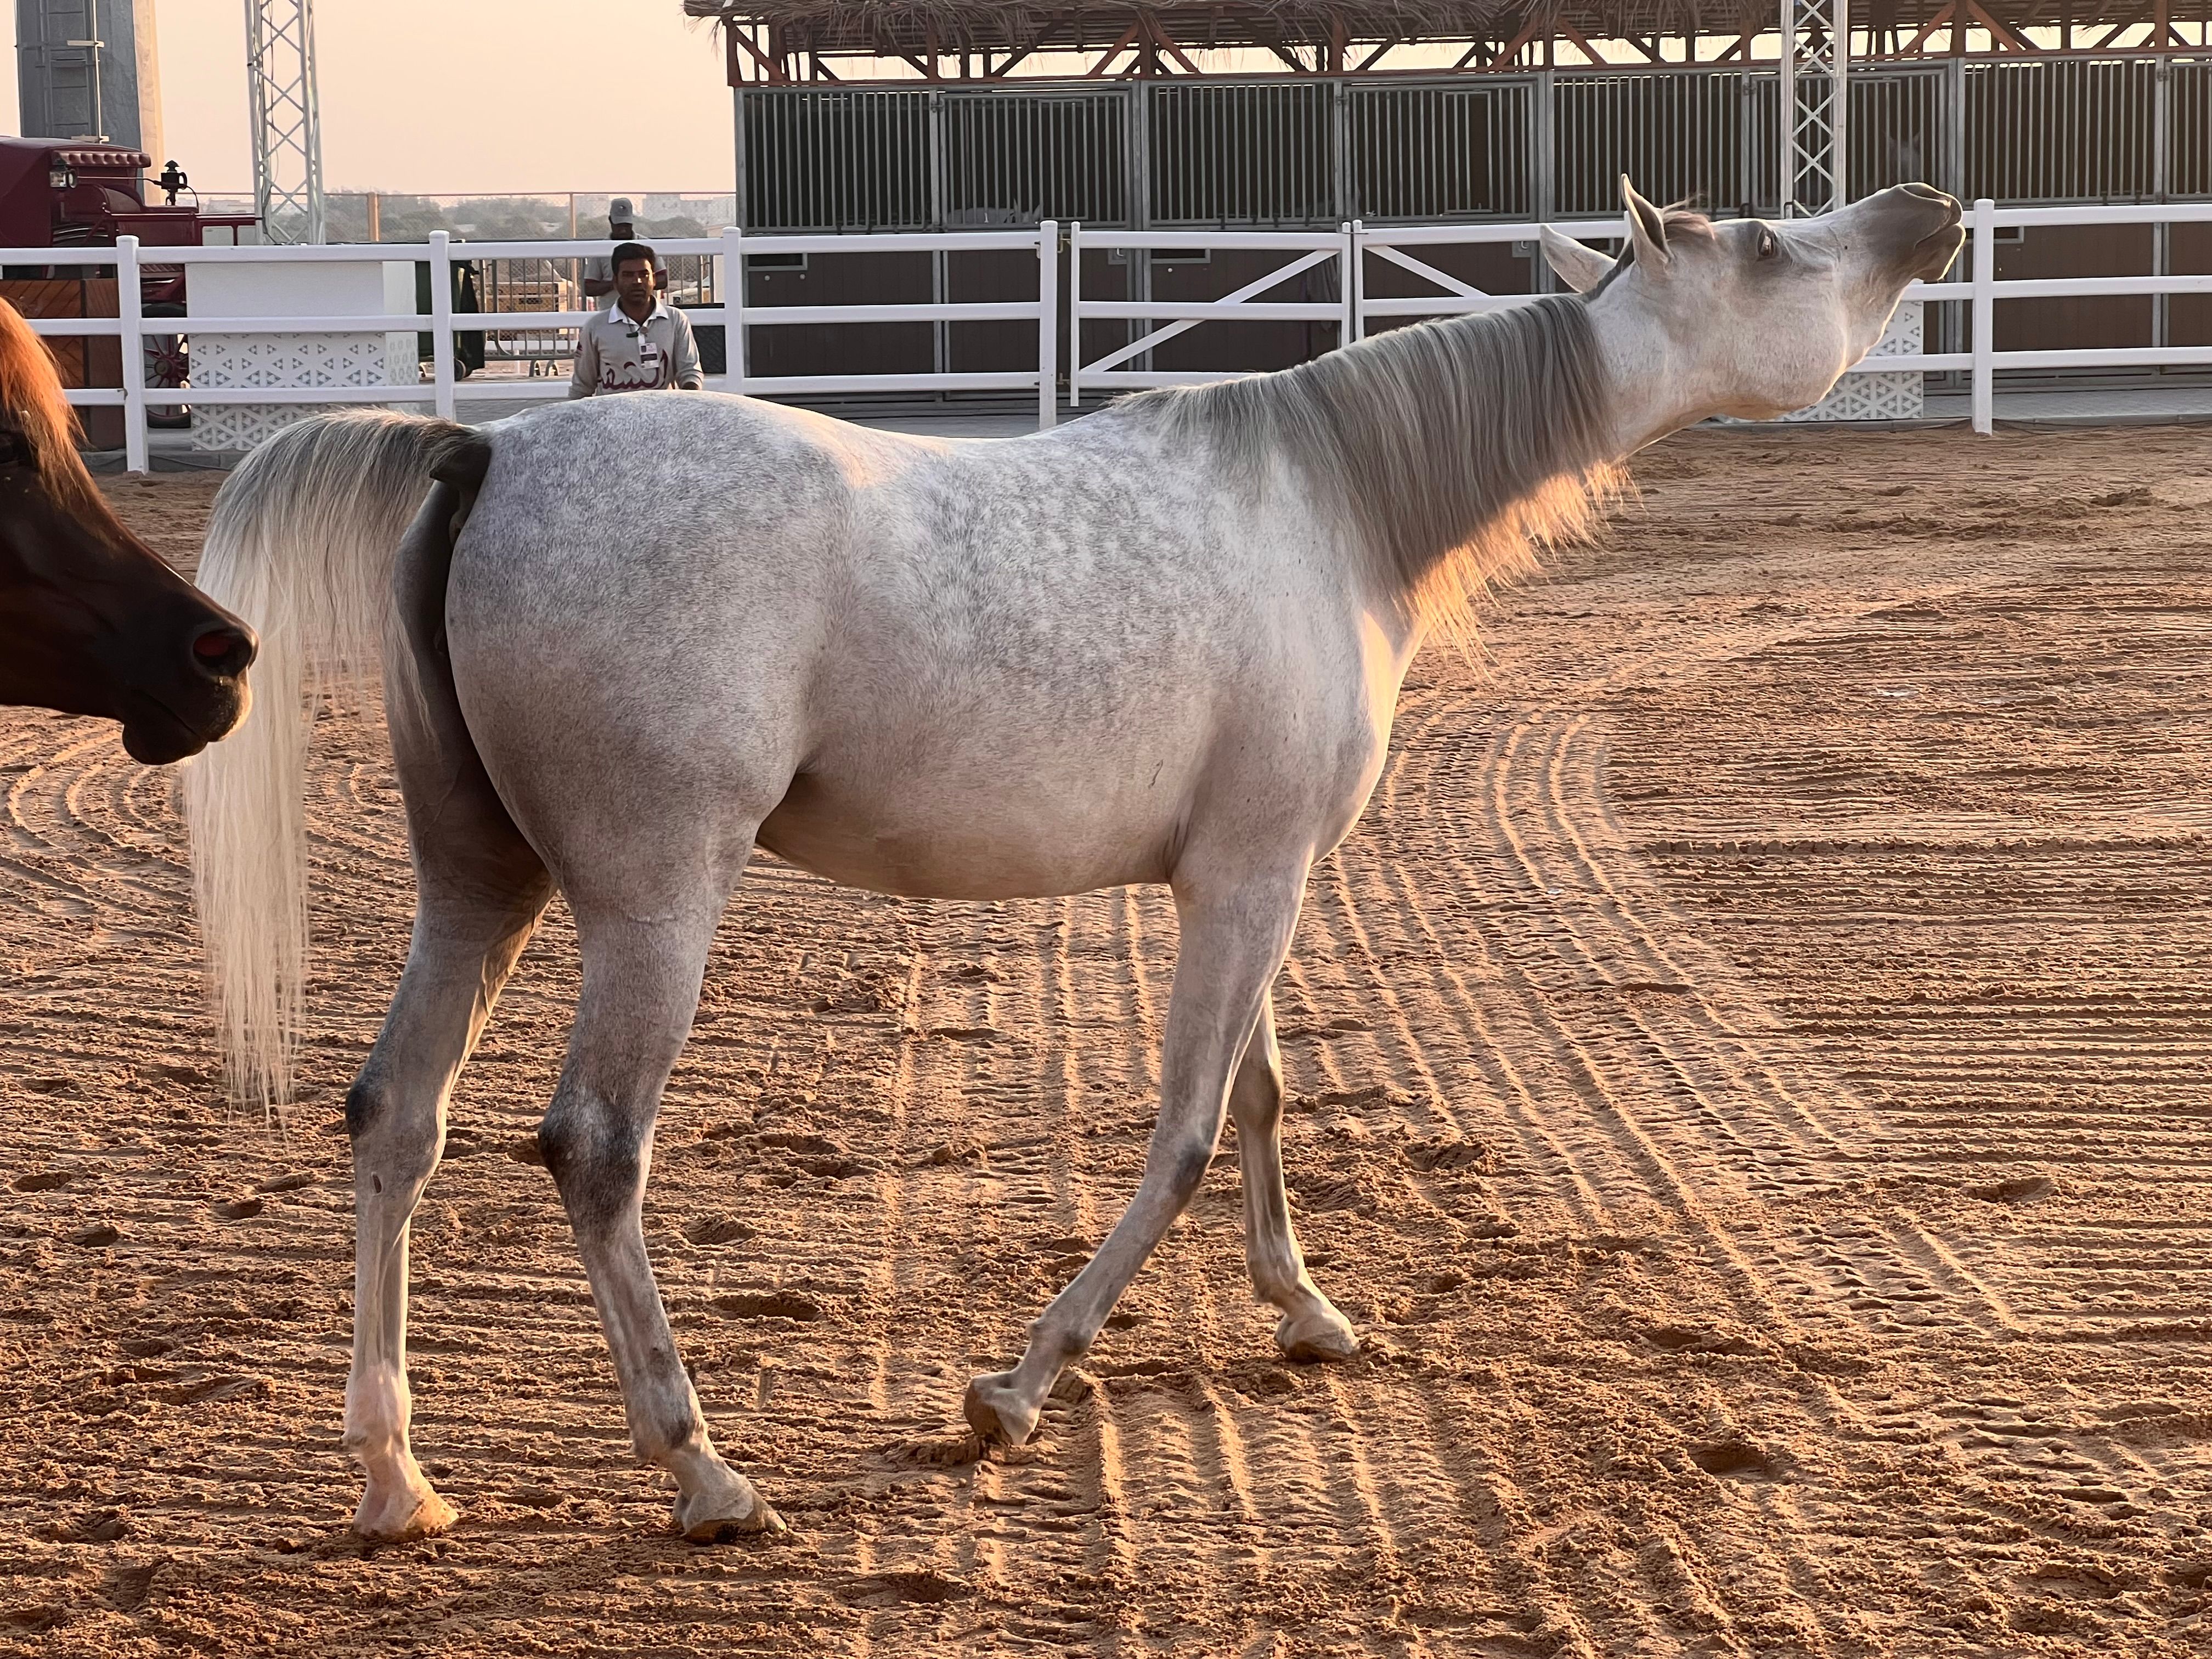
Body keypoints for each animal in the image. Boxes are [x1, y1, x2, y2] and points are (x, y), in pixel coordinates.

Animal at [181, 180, 1963, 1543]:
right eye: (1770, 244)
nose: (1926, 210)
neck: (1331, 508)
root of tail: (485, 456)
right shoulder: (1247, 886)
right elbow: (1183, 1135)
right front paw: (1013, 1390)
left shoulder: (1248, 877)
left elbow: (1261, 1100)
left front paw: (1307, 1315)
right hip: (649, 907)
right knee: (594, 1151)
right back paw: (701, 1469)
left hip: (477, 886)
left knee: (395, 1120)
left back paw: (393, 1479)